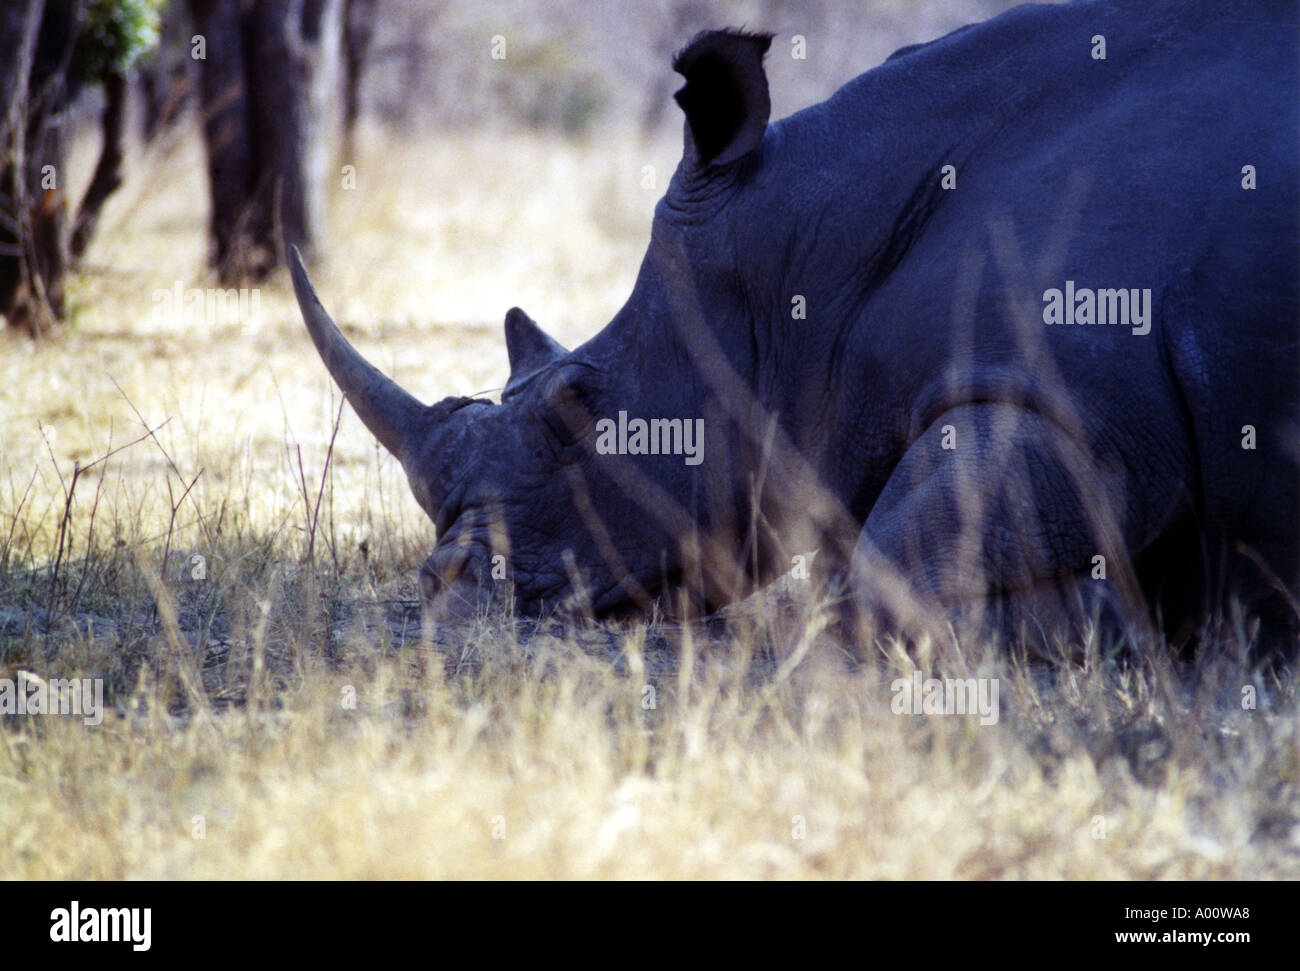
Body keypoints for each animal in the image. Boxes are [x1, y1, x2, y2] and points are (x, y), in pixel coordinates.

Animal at [291, 0, 1299, 656]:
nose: (449, 592)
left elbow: (882, 575)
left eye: (580, 407)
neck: (814, 260)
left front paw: (1099, 633)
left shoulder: (1081, 401)